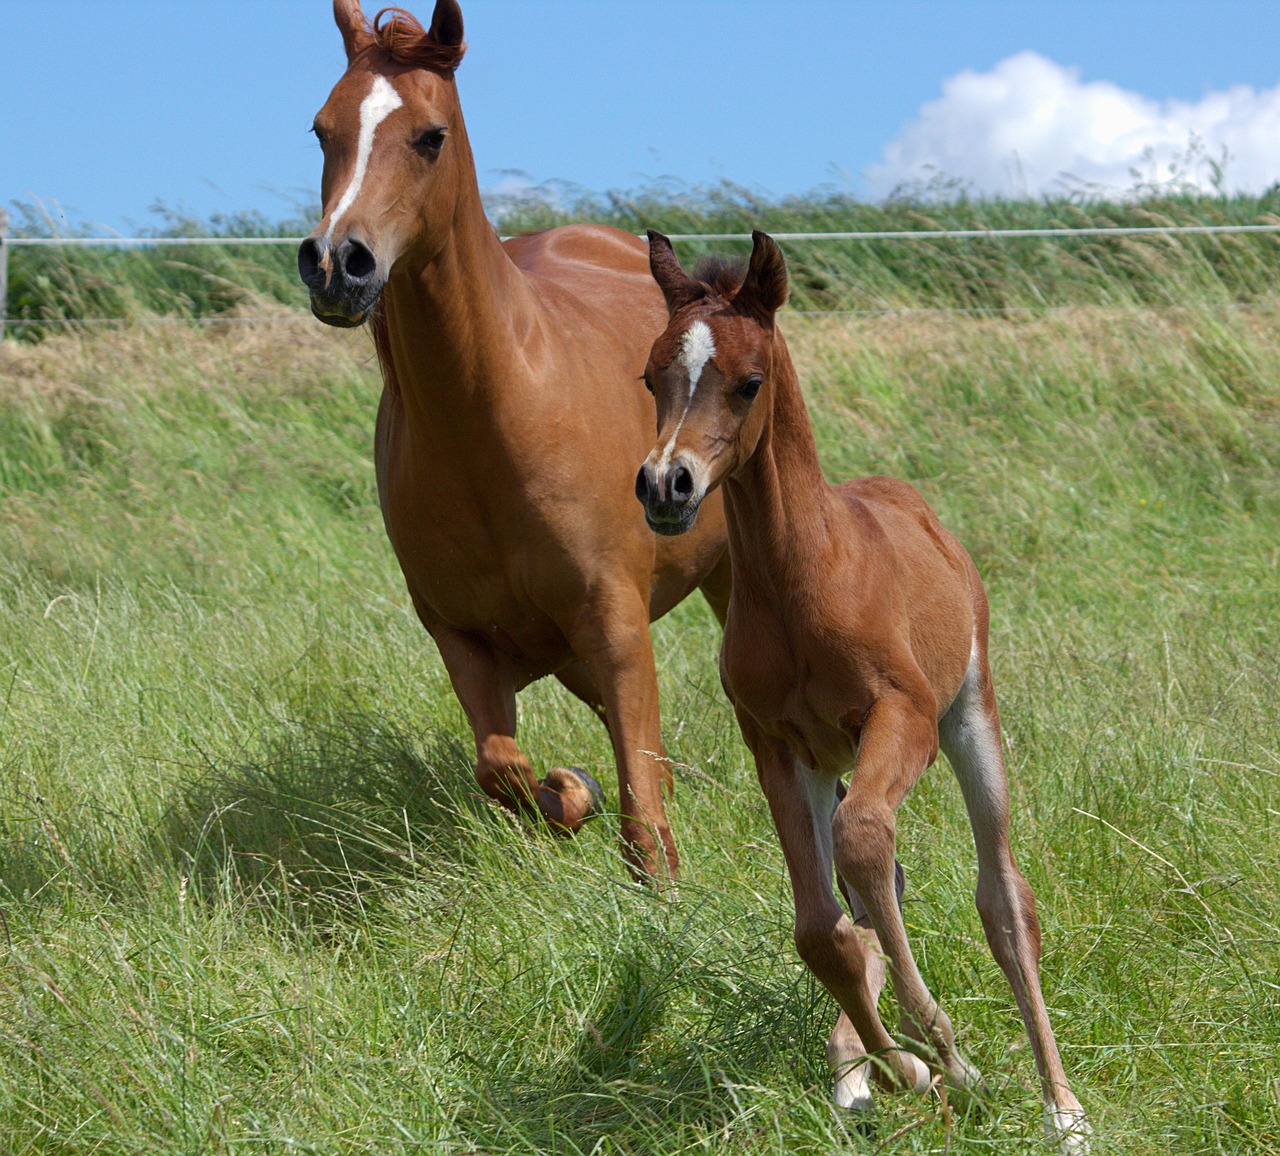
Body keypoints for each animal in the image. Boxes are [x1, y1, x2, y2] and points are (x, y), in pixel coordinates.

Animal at [296, 0, 731, 880]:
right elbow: (502, 768)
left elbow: (641, 806)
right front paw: (572, 792)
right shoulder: (461, 636)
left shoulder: (612, 617)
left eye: (430, 136)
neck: (489, 429)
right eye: (323, 131)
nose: (335, 264)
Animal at [634, 230, 1090, 1152]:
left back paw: (1061, 1110)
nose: (666, 486)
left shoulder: (901, 714)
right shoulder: (780, 747)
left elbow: (866, 842)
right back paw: (863, 1073)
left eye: (749, 381)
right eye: (651, 376)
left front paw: (947, 1056)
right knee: (870, 899)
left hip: (969, 714)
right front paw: (905, 1065)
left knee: (1003, 897)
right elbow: (821, 928)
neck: (804, 577)